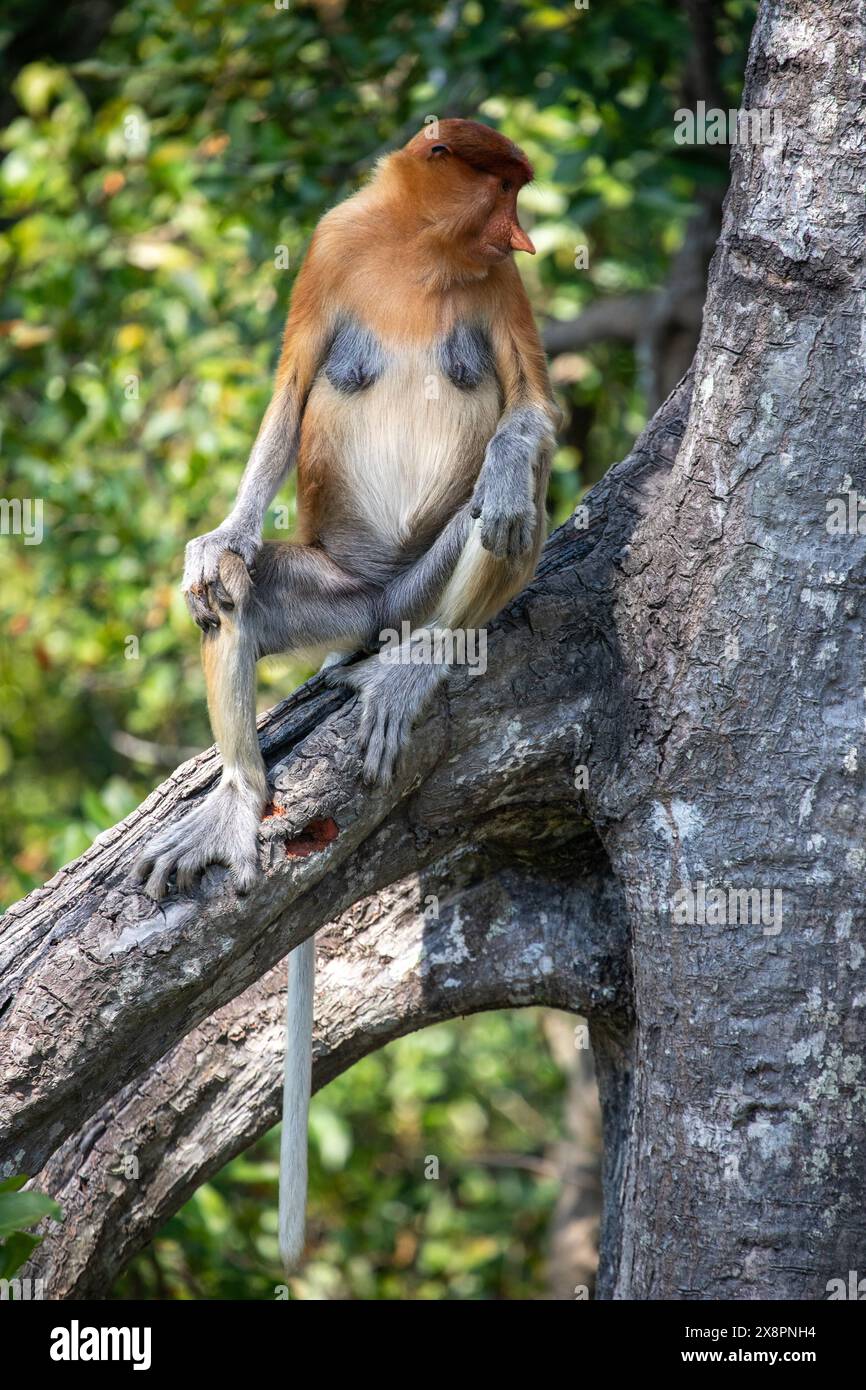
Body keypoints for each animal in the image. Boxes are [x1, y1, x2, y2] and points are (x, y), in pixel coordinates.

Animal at [134, 119, 559, 1272]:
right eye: (503, 188)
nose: (523, 233)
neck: (418, 247)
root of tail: (376, 605)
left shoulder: (499, 292)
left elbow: (530, 408)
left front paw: (512, 455)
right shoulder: (331, 253)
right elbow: (288, 397)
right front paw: (213, 541)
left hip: (417, 589)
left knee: (504, 512)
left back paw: (411, 668)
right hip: (332, 588)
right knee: (242, 593)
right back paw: (240, 797)